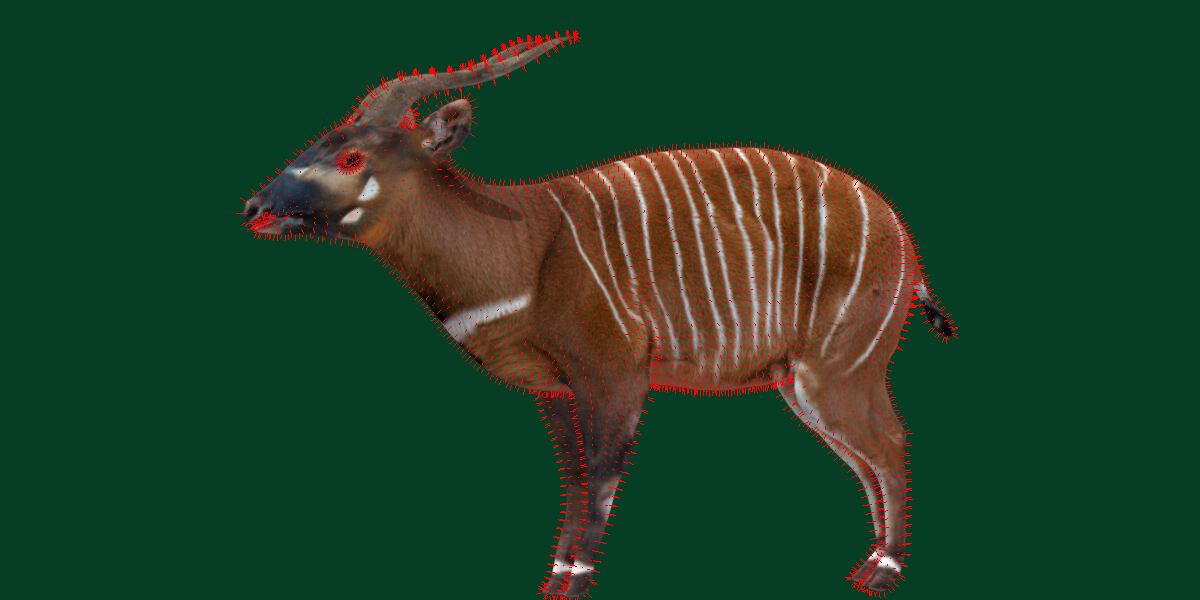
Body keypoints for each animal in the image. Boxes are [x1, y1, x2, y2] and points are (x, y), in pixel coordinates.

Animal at [241, 32, 954, 598]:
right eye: (325, 140)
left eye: (352, 156)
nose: (255, 208)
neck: (523, 248)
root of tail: (904, 247)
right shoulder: (557, 389)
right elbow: (575, 474)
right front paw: (555, 574)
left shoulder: (615, 375)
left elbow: (604, 474)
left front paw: (573, 580)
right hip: (800, 382)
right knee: (865, 455)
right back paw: (869, 564)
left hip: (837, 369)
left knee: (888, 442)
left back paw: (885, 570)